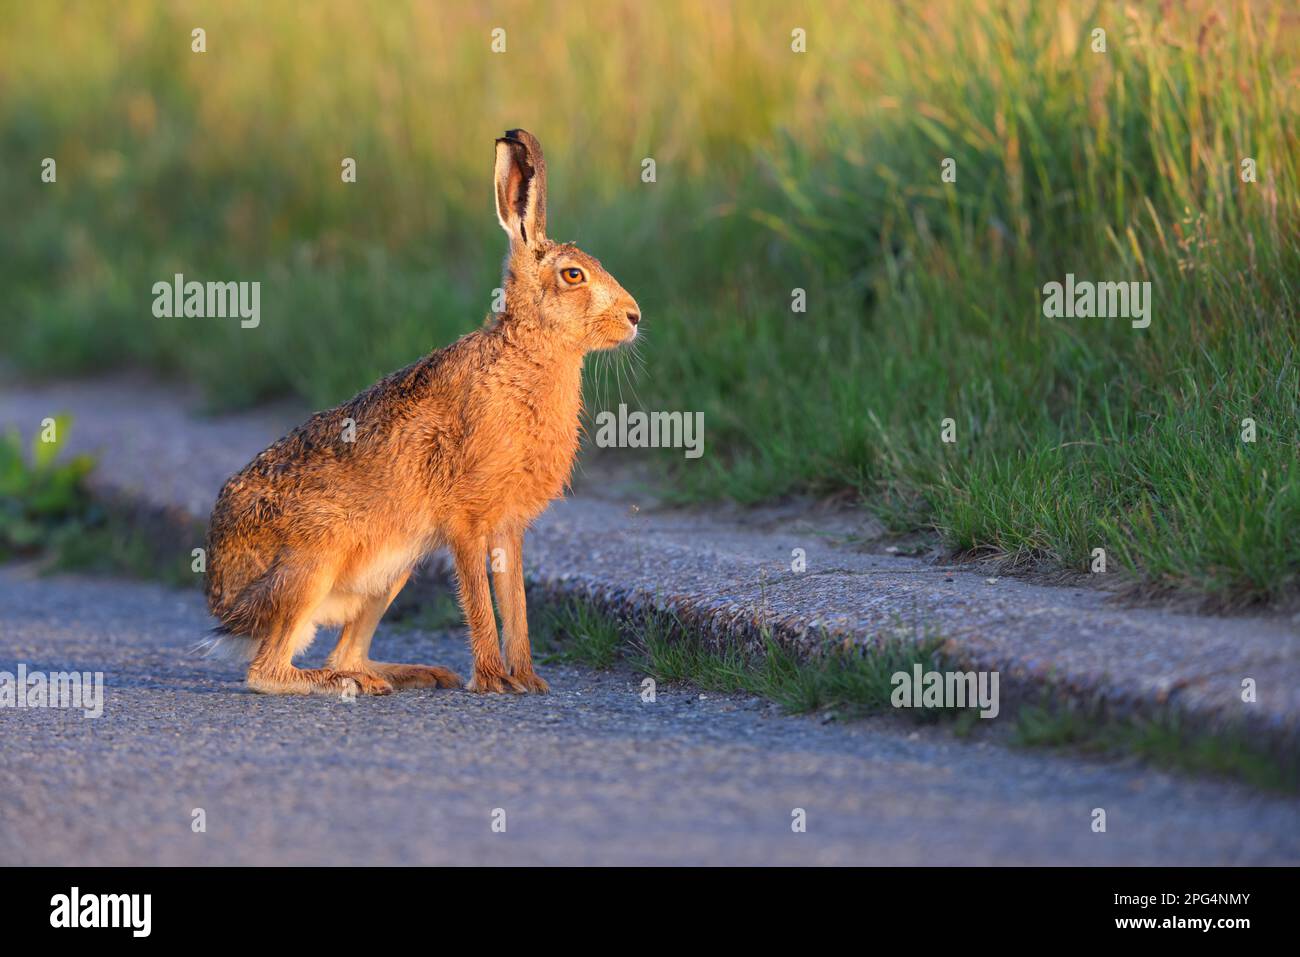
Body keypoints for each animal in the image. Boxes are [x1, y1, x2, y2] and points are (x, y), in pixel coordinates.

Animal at [200, 129, 641, 696]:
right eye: (573, 275)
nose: (634, 317)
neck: (526, 351)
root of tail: (225, 604)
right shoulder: (466, 519)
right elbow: (479, 599)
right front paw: (494, 680)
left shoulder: (507, 526)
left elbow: (515, 603)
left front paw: (528, 679)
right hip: (313, 559)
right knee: (267, 671)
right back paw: (342, 683)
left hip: (393, 570)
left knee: (346, 649)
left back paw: (408, 675)